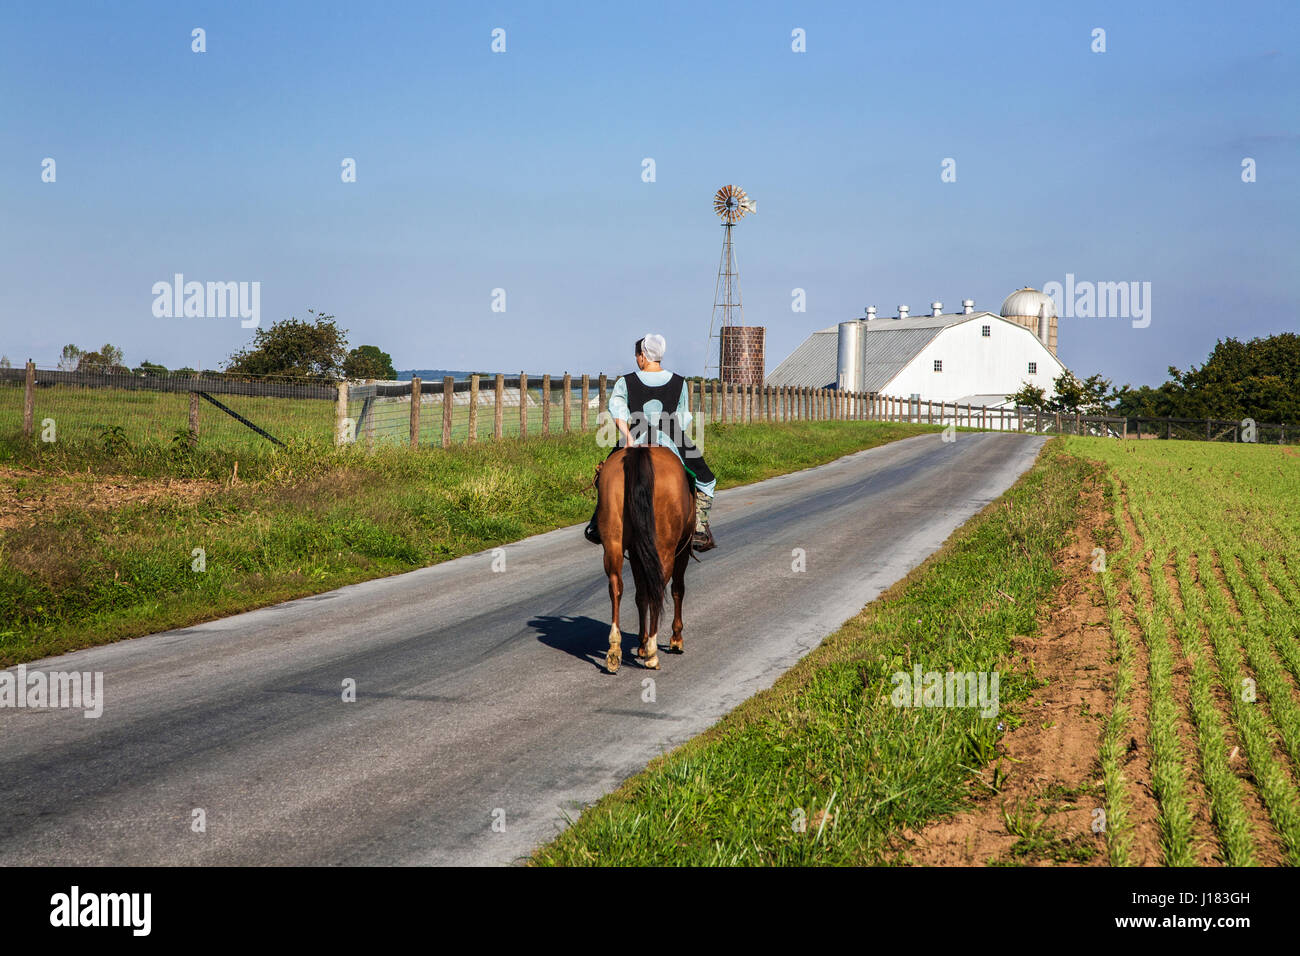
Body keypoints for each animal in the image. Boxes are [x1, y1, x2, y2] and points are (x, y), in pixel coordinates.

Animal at [596, 445, 695, 673]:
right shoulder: (683, 547)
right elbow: (678, 589)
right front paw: (676, 639)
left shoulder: (634, 551)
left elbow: (640, 595)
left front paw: (640, 645)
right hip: (665, 548)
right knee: (658, 590)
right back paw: (652, 652)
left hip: (614, 541)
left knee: (616, 586)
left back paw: (614, 651)